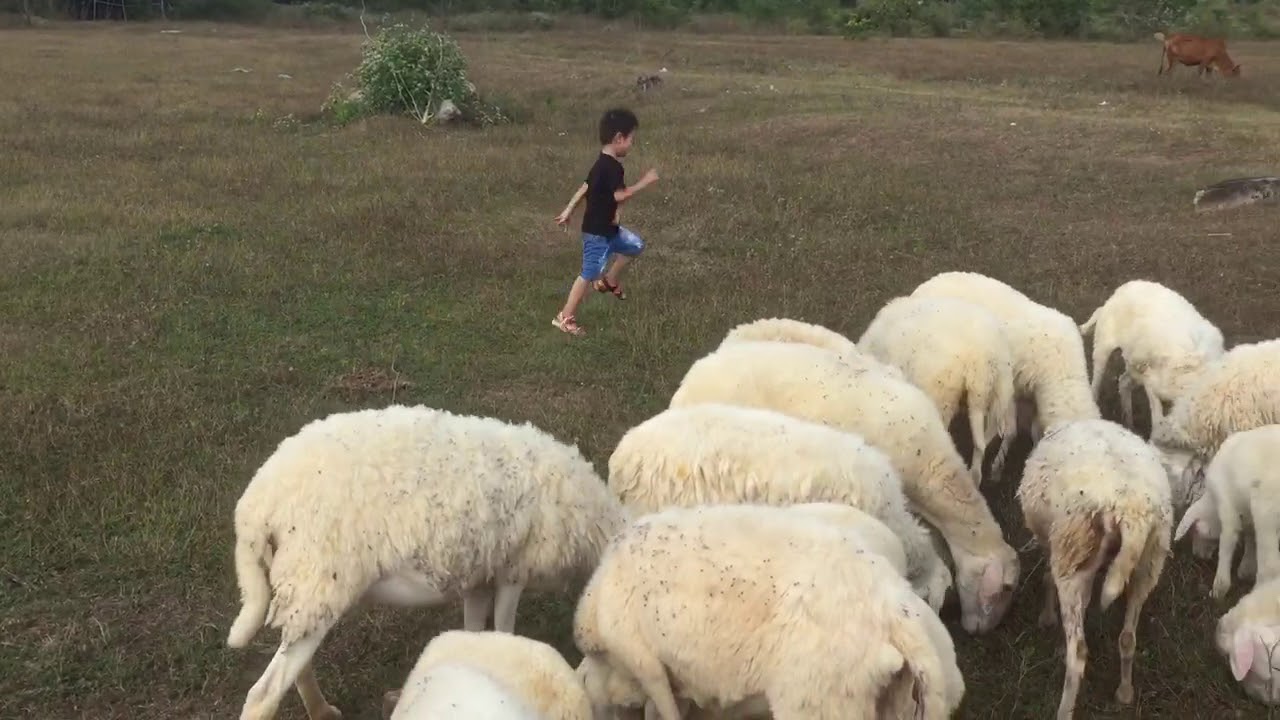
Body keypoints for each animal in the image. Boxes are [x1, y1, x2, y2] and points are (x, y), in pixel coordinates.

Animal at [1017, 419, 1173, 720]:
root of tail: (1130, 510)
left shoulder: (1052, 544)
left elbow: (1046, 577)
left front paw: (1046, 616)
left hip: (1074, 559)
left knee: (1077, 654)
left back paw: (1064, 711)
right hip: (1149, 563)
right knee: (1127, 637)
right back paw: (1124, 692)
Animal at [1079, 279, 1224, 432]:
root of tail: (1123, 289)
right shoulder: (1153, 384)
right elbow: (1158, 419)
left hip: (1134, 364)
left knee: (1123, 382)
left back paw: (1129, 423)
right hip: (1104, 344)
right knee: (1097, 379)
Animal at [1173, 425, 1280, 600]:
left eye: (1195, 530)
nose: (1197, 555)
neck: (1211, 501)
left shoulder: (1226, 505)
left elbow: (1227, 543)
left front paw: (1219, 589)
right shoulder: (1246, 512)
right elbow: (1250, 534)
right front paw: (1246, 568)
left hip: (1266, 512)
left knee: (1270, 567)